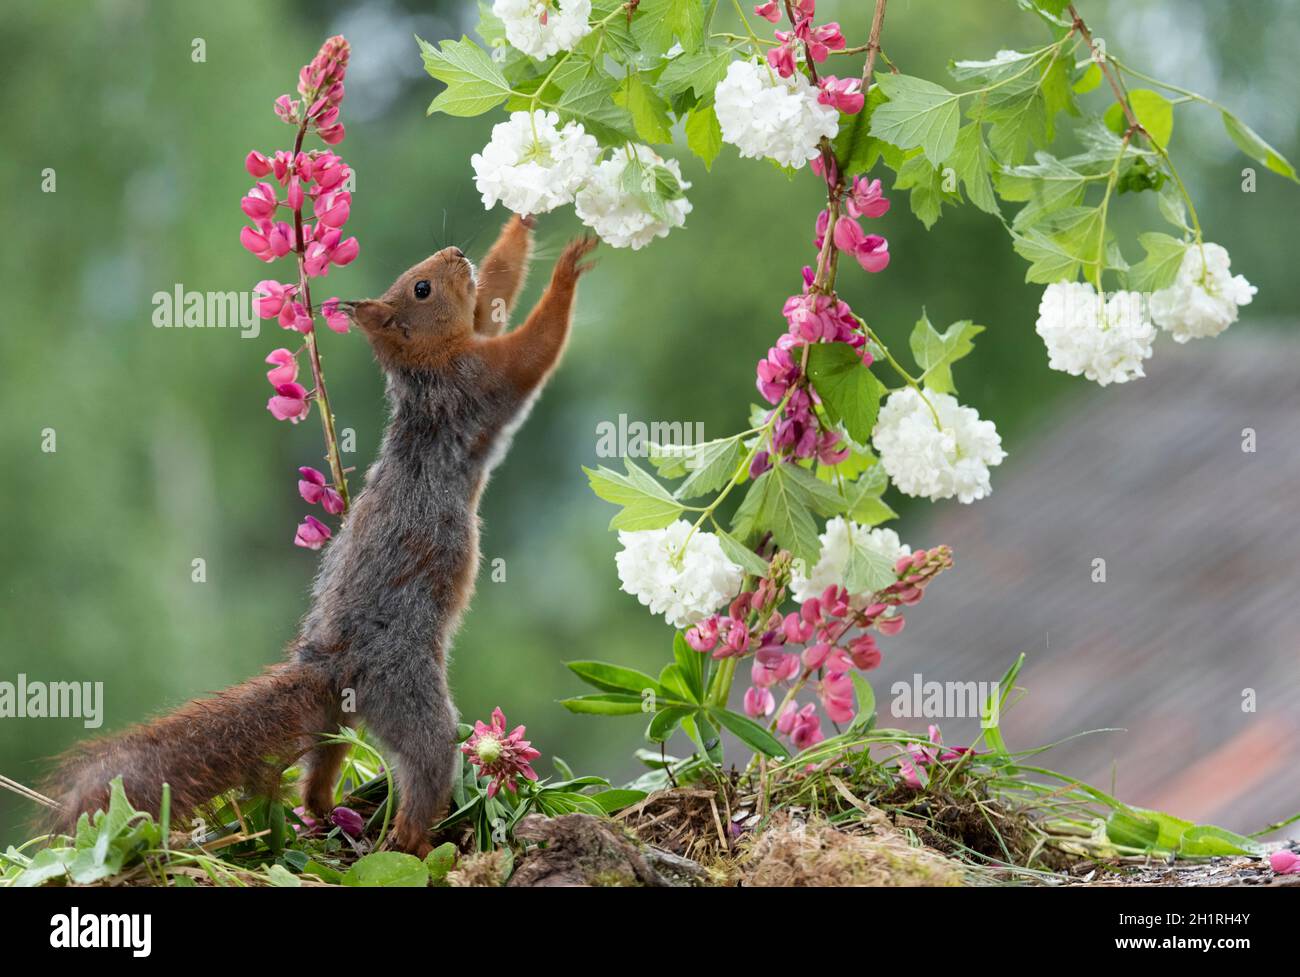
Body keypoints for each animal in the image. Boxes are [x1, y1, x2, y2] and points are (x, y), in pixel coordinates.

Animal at [43, 216, 597, 856]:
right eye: (422, 289)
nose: (457, 252)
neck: (424, 369)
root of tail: (328, 661)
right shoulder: (476, 381)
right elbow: (534, 347)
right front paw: (569, 269)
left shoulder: (474, 341)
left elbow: (495, 296)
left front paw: (520, 226)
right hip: (409, 700)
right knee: (424, 772)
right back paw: (415, 841)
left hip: (332, 718)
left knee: (317, 770)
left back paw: (329, 814)